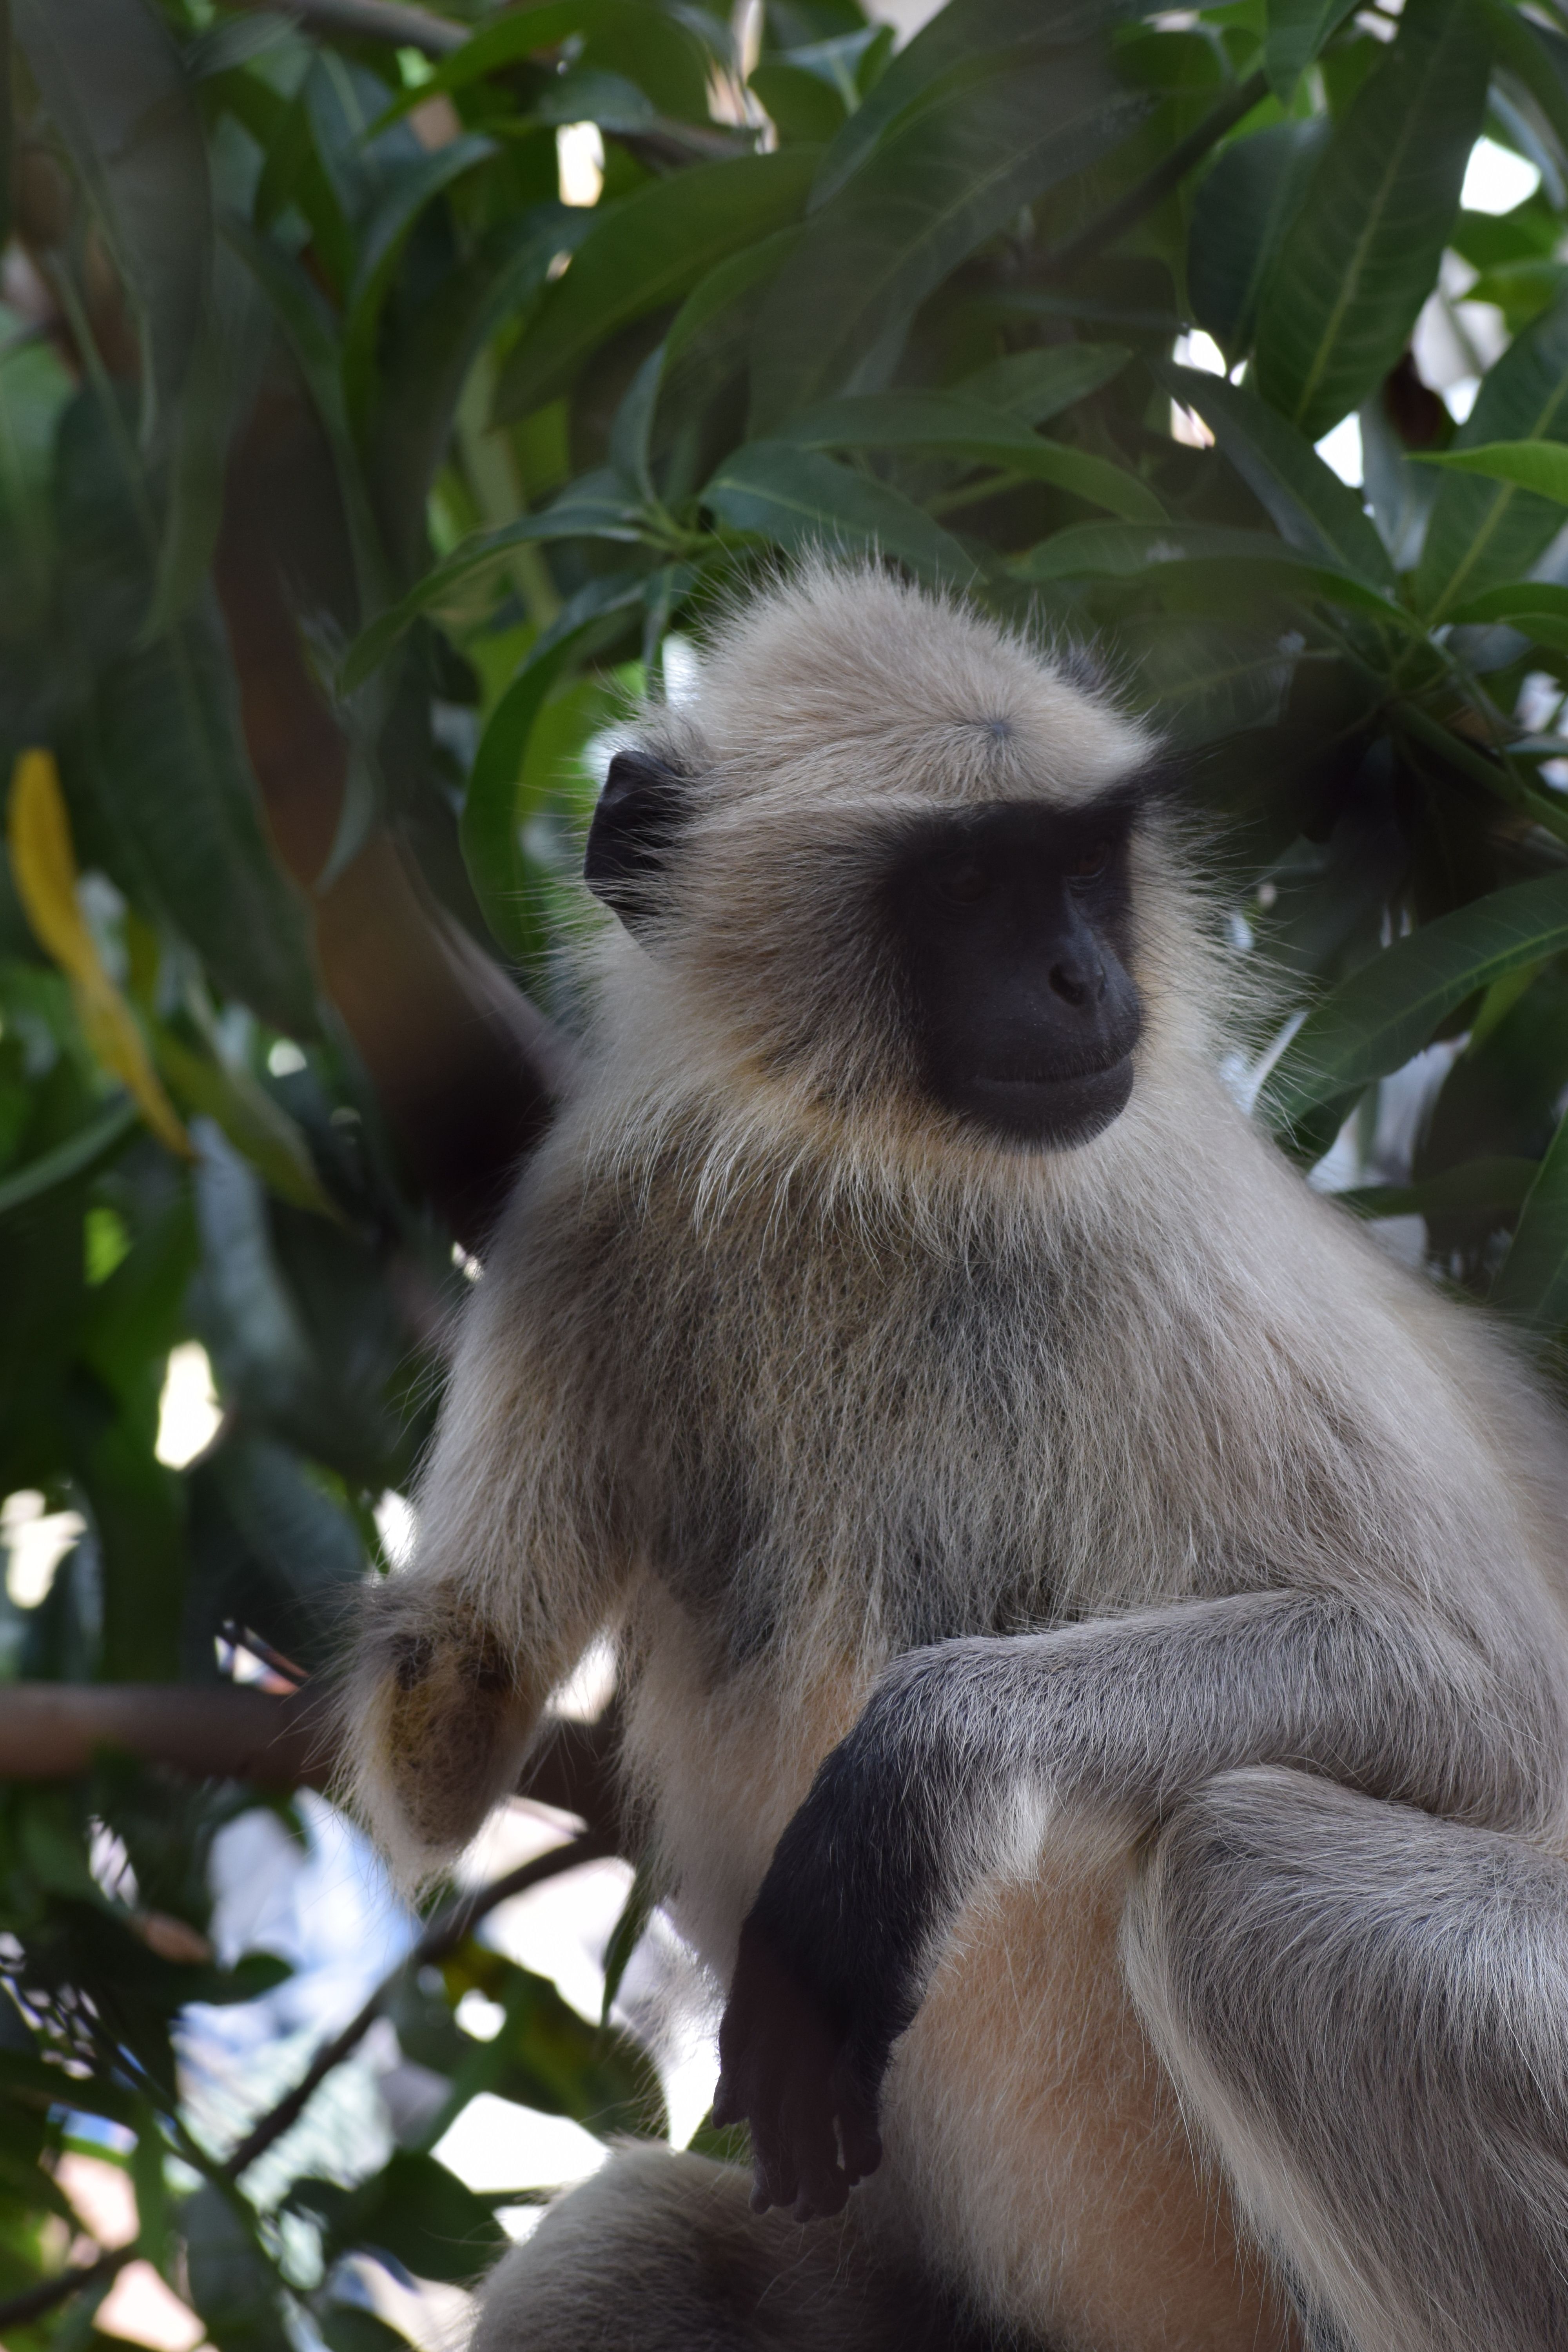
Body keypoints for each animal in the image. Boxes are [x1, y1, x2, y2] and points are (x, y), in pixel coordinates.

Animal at [341, 560, 1568, 2352]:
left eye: (1080, 870)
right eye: (972, 884)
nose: (1078, 978)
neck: (876, 1173)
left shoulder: (1153, 1232)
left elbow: (1497, 1700)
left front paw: (913, 1774)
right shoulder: (595, 1227)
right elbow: (445, 1740)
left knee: (1244, 1875)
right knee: (615, 2244)